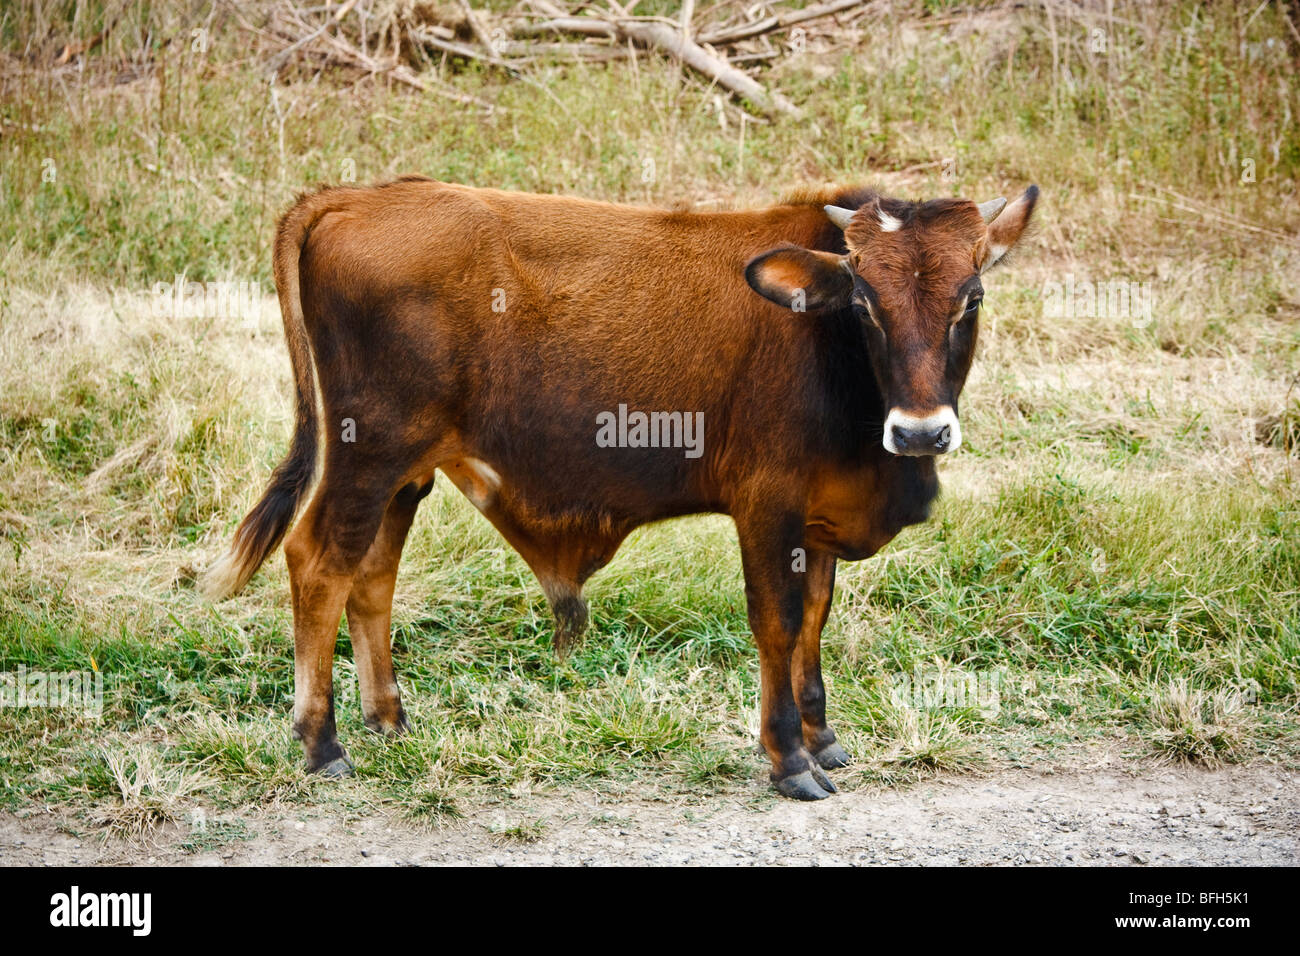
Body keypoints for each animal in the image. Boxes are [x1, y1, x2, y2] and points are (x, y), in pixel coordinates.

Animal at [198, 178, 1039, 800]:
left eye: (971, 297)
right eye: (866, 301)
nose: (922, 433)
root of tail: (352, 195)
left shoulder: (818, 516)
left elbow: (814, 622)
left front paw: (823, 737)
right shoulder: (767, 505)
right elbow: (778, 622)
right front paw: (789, 759)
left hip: (406, 472)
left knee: (372, 575)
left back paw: (388, 718)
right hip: (366, 457)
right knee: (319, 565)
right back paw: (321, 741)